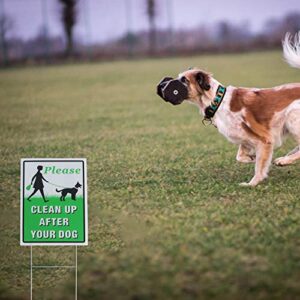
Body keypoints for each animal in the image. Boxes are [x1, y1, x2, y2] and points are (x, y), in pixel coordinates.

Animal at [173, 34, 300, 186]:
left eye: (184, 80)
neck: (218, 100)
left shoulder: (264, 139)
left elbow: (259, 166)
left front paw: (252, 184)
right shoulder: (246, 139)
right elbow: (240, 156)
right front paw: (251, 158)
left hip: (292, 117)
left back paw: (285, 160)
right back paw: (285, 158)